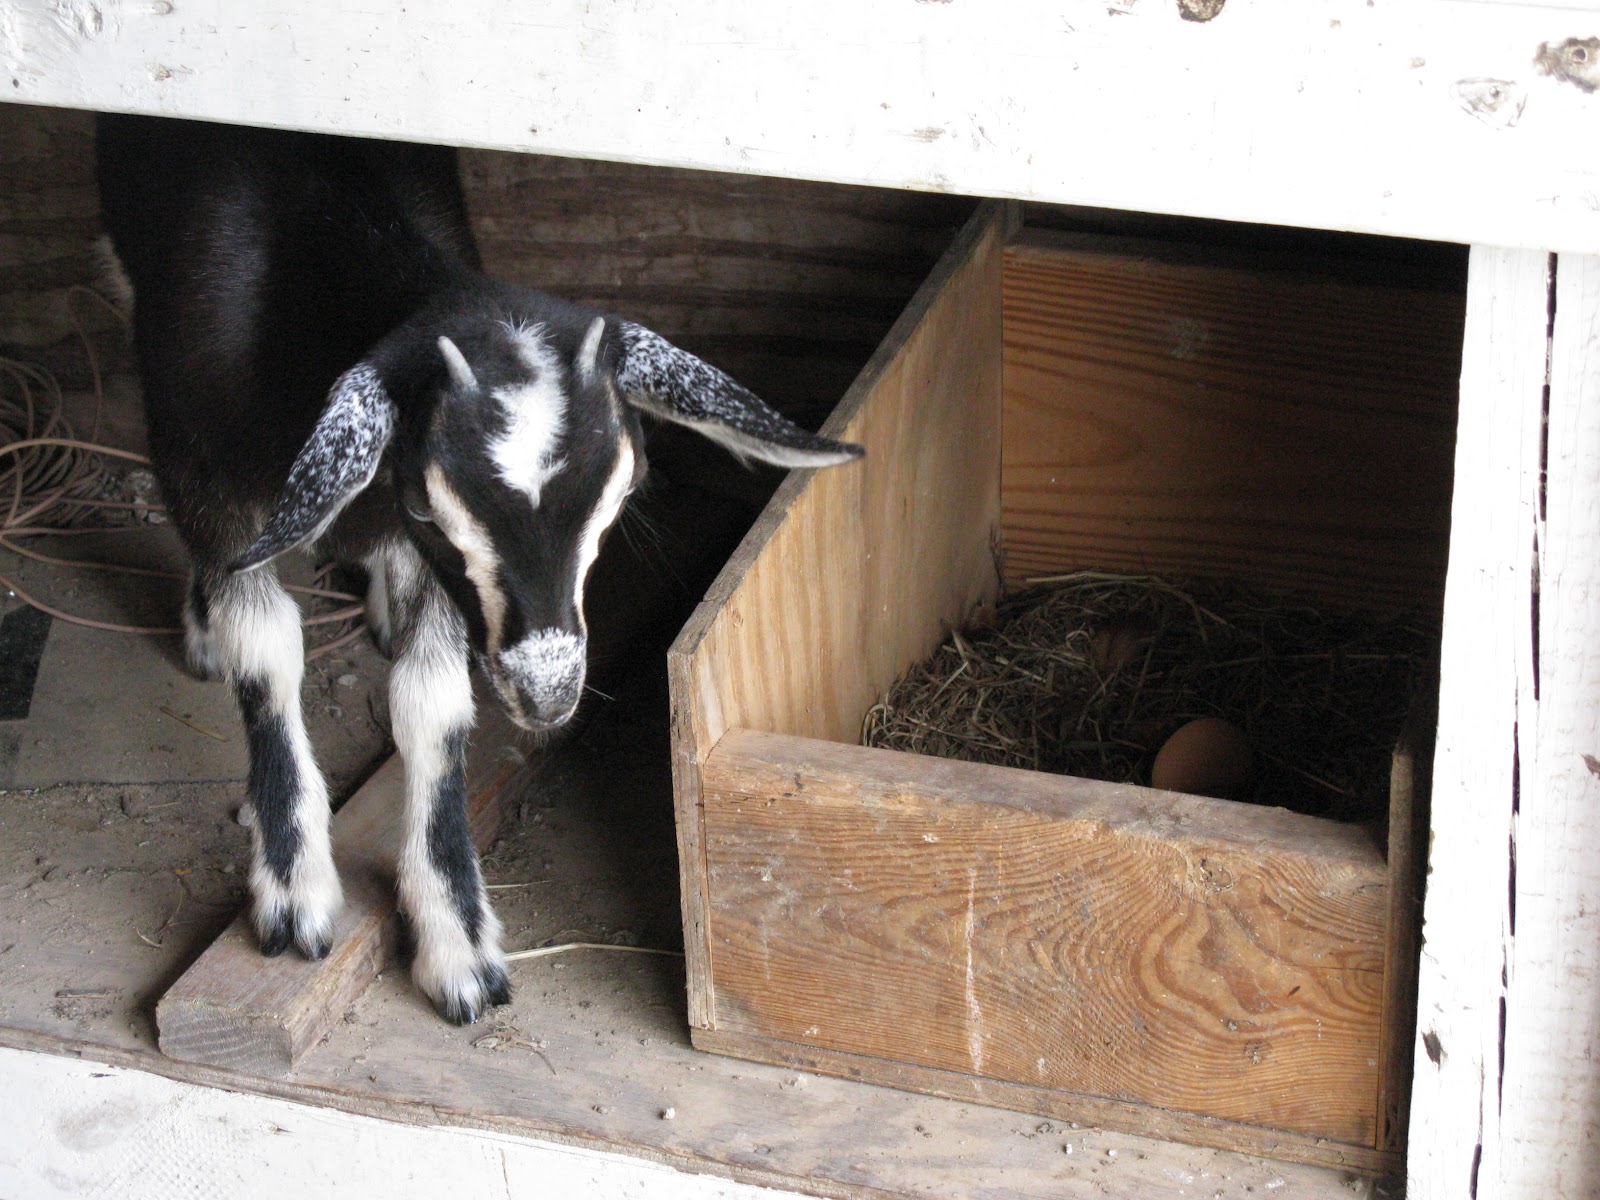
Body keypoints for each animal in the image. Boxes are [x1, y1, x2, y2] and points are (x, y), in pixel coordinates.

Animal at [95, 114, 862, 1024]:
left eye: (625, 492)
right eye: (432, 508)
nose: (548, 694)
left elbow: (432, 704)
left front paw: (455, 939)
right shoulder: (203, 467)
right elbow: (265, 652)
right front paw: (292, 888)